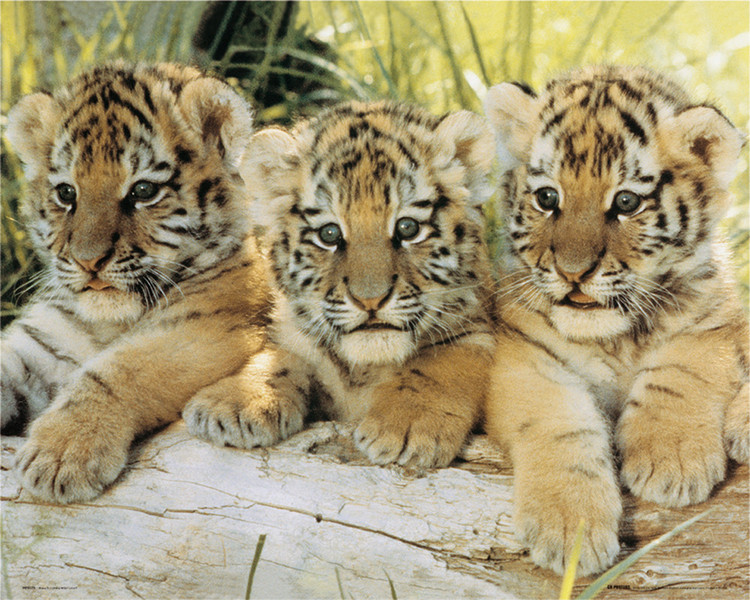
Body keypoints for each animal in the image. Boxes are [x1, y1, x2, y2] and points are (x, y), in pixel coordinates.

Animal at [1, 62, 271, 503]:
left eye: (143, 190)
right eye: (66, 193)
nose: (88, 260)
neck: (107, 322)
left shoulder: (204, 329)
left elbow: (115, 371)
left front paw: (61, 453)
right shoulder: (36, 347)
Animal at [183, 101, 497, 468]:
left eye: (407, 228)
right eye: (329, 234)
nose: (371, 301)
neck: (363, 369)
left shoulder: (479, 333)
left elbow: (439, 365)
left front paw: (406, 427)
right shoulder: (294, 336)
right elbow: (278, 358)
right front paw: (231, 403)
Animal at [482, 65, 749, 576]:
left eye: (626, 203)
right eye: (548, 197)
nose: (573, 272)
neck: (614, 338)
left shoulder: (712, 325)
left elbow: (680, 370)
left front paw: (670, 460)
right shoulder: (522, 354)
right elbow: (560, 421)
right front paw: (568, 529)